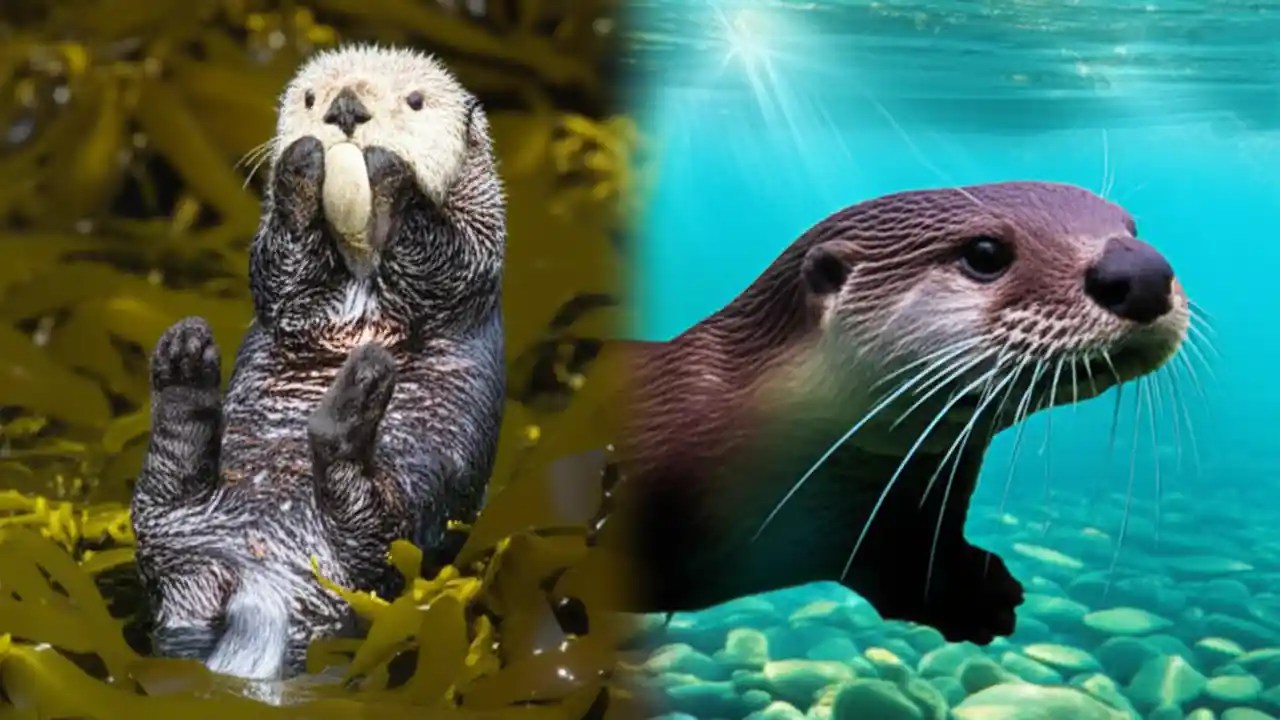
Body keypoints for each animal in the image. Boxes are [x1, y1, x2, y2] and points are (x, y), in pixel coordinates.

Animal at [130, 45, 505, 680]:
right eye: (310, 97)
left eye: (415, 101)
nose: (346, 109)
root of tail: (257, 575)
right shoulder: (283, 278)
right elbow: (280, 267)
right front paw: (300, 169)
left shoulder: (477, 246)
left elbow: (445, 259)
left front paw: (390, 172)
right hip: (173, 531)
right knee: (164, 492)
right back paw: (185, 364)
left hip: (389, 534)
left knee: (358, 501)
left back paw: (355, 392)